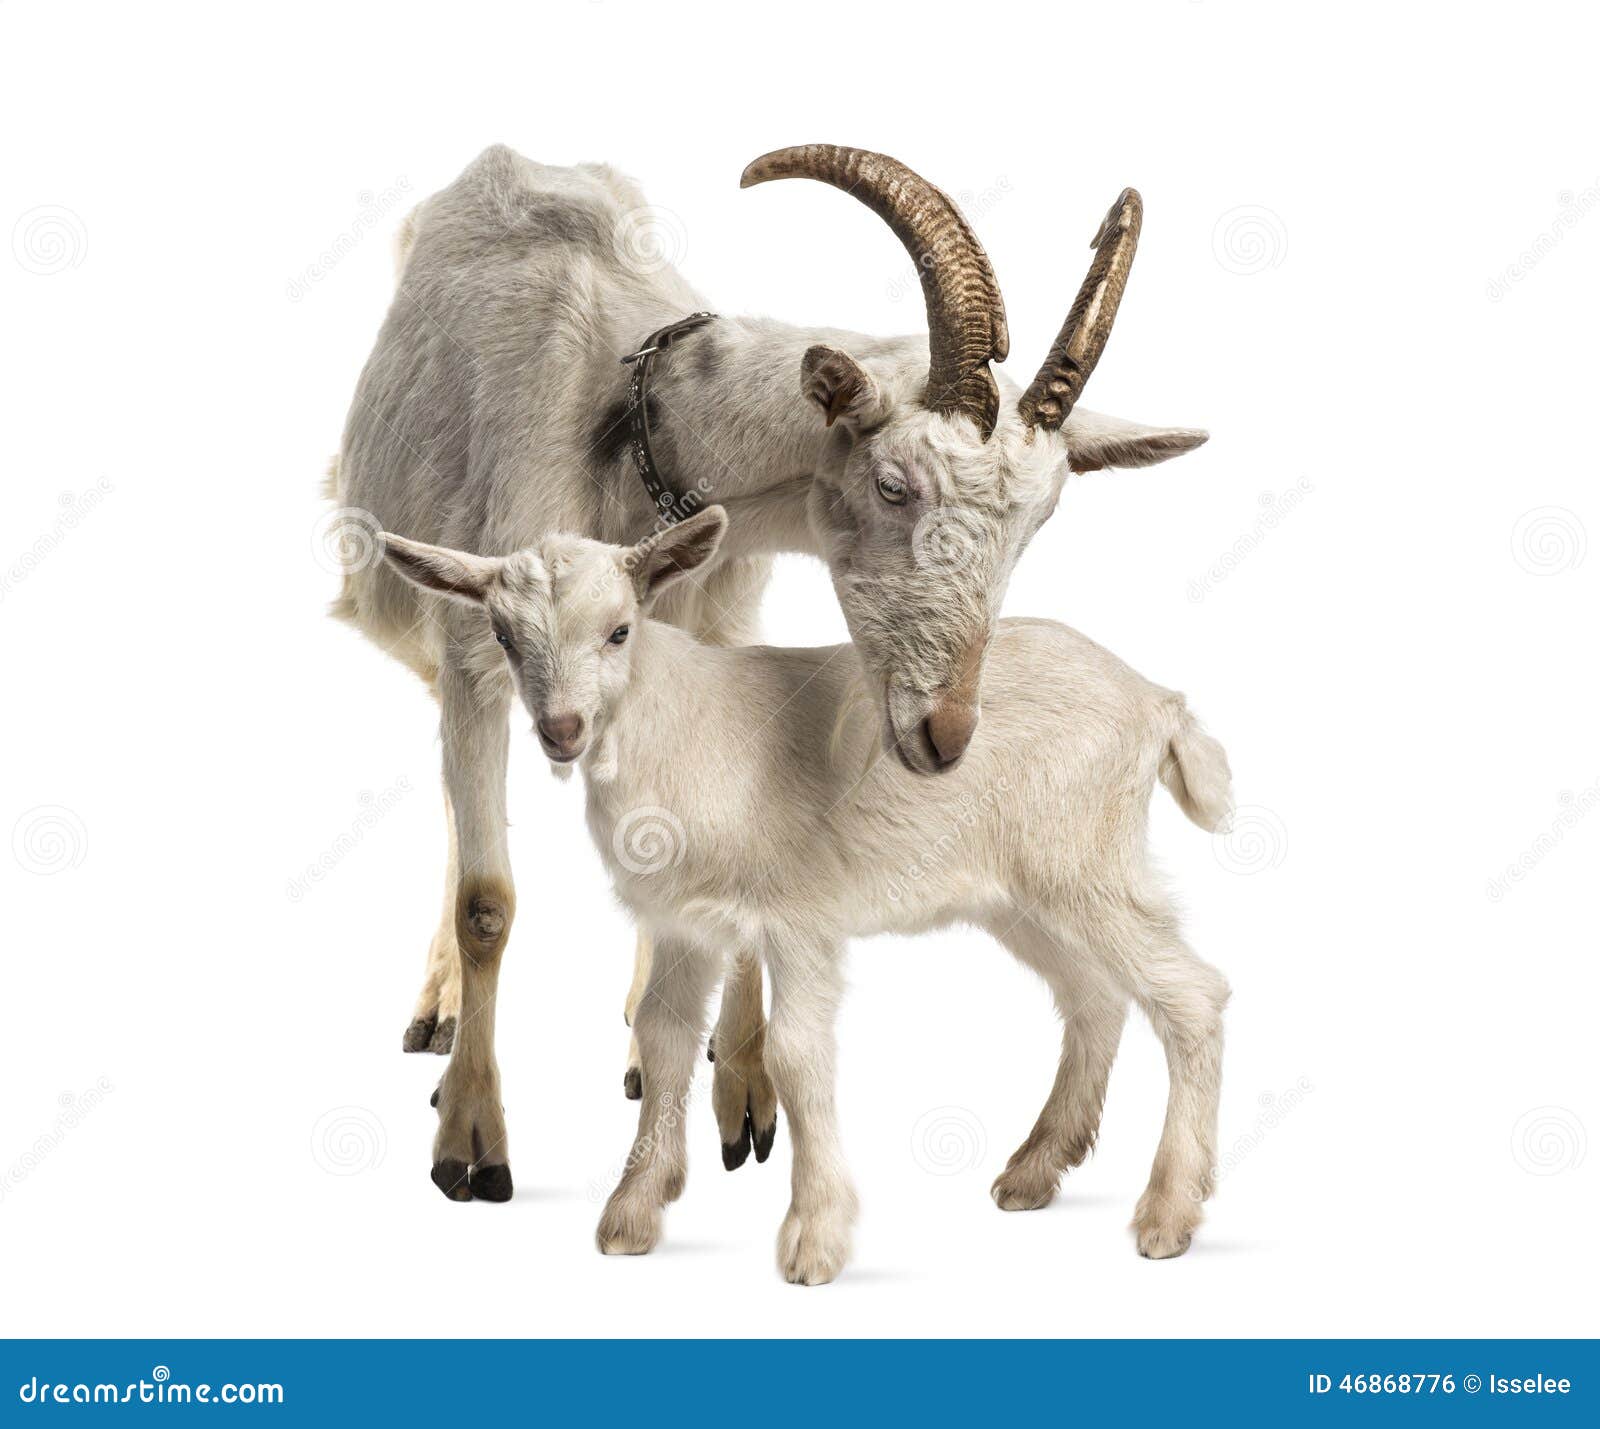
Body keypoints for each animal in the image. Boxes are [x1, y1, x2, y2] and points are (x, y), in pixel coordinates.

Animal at [331, 143, 1209, 1199]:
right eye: (892, 483)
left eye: (1038, 520)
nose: (947, 733)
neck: (632, 439)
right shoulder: (475, 651)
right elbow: (486, 900)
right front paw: (470, 1138)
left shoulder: (720, 626)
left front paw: (744, 1093)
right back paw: (443, 1009)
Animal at [380, 506, 1234, 1283]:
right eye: (503, 636)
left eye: (620, 630)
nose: (562, 729)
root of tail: (1159, 705)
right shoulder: (684, 922)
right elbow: (662, 1035)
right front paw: (634, 1210)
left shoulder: (799, 918)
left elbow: (793, 1052)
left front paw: (814, 1239)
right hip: (1021, 894)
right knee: (1094, 995)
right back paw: (1034, 1170)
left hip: (1085, 862)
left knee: (1192, 994)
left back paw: (1167, 1212)